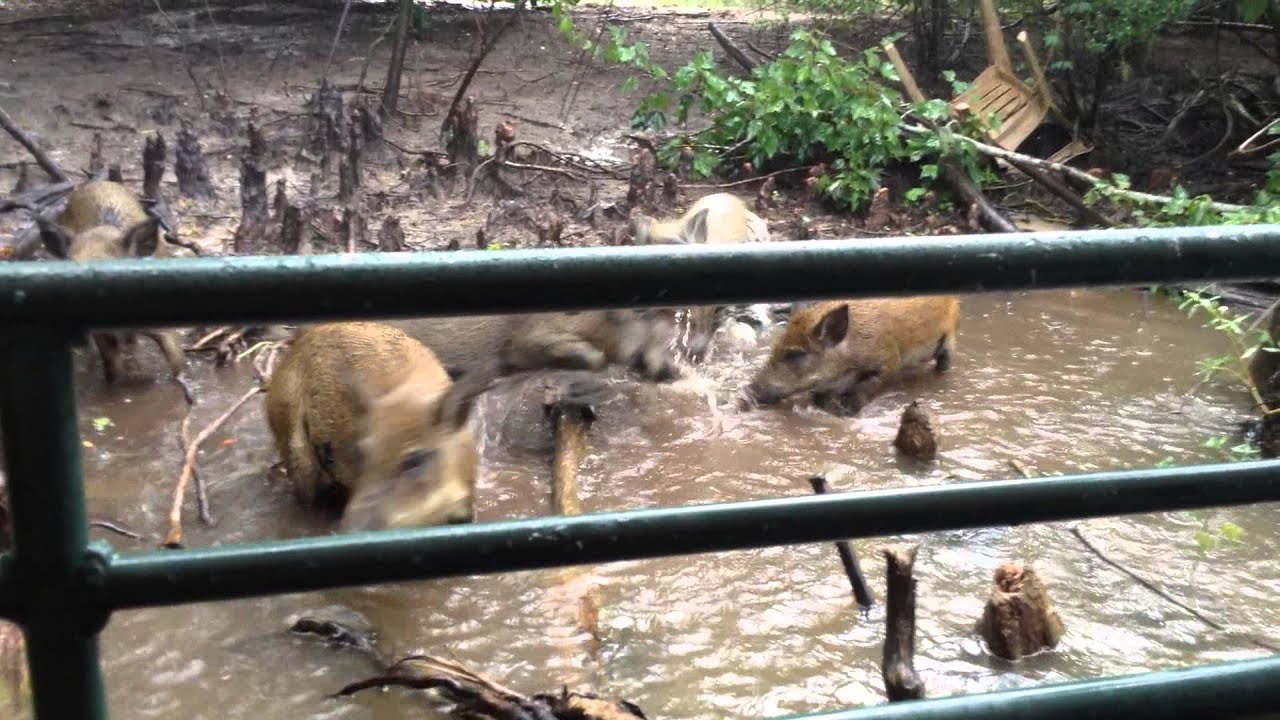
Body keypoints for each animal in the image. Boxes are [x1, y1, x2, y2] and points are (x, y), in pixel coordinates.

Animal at [741, 296, 960, 416]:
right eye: (776, 345)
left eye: (795, 354)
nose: (747, 391)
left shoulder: (888, 361)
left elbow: (863, 390)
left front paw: (846, 412)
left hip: (949, 337)